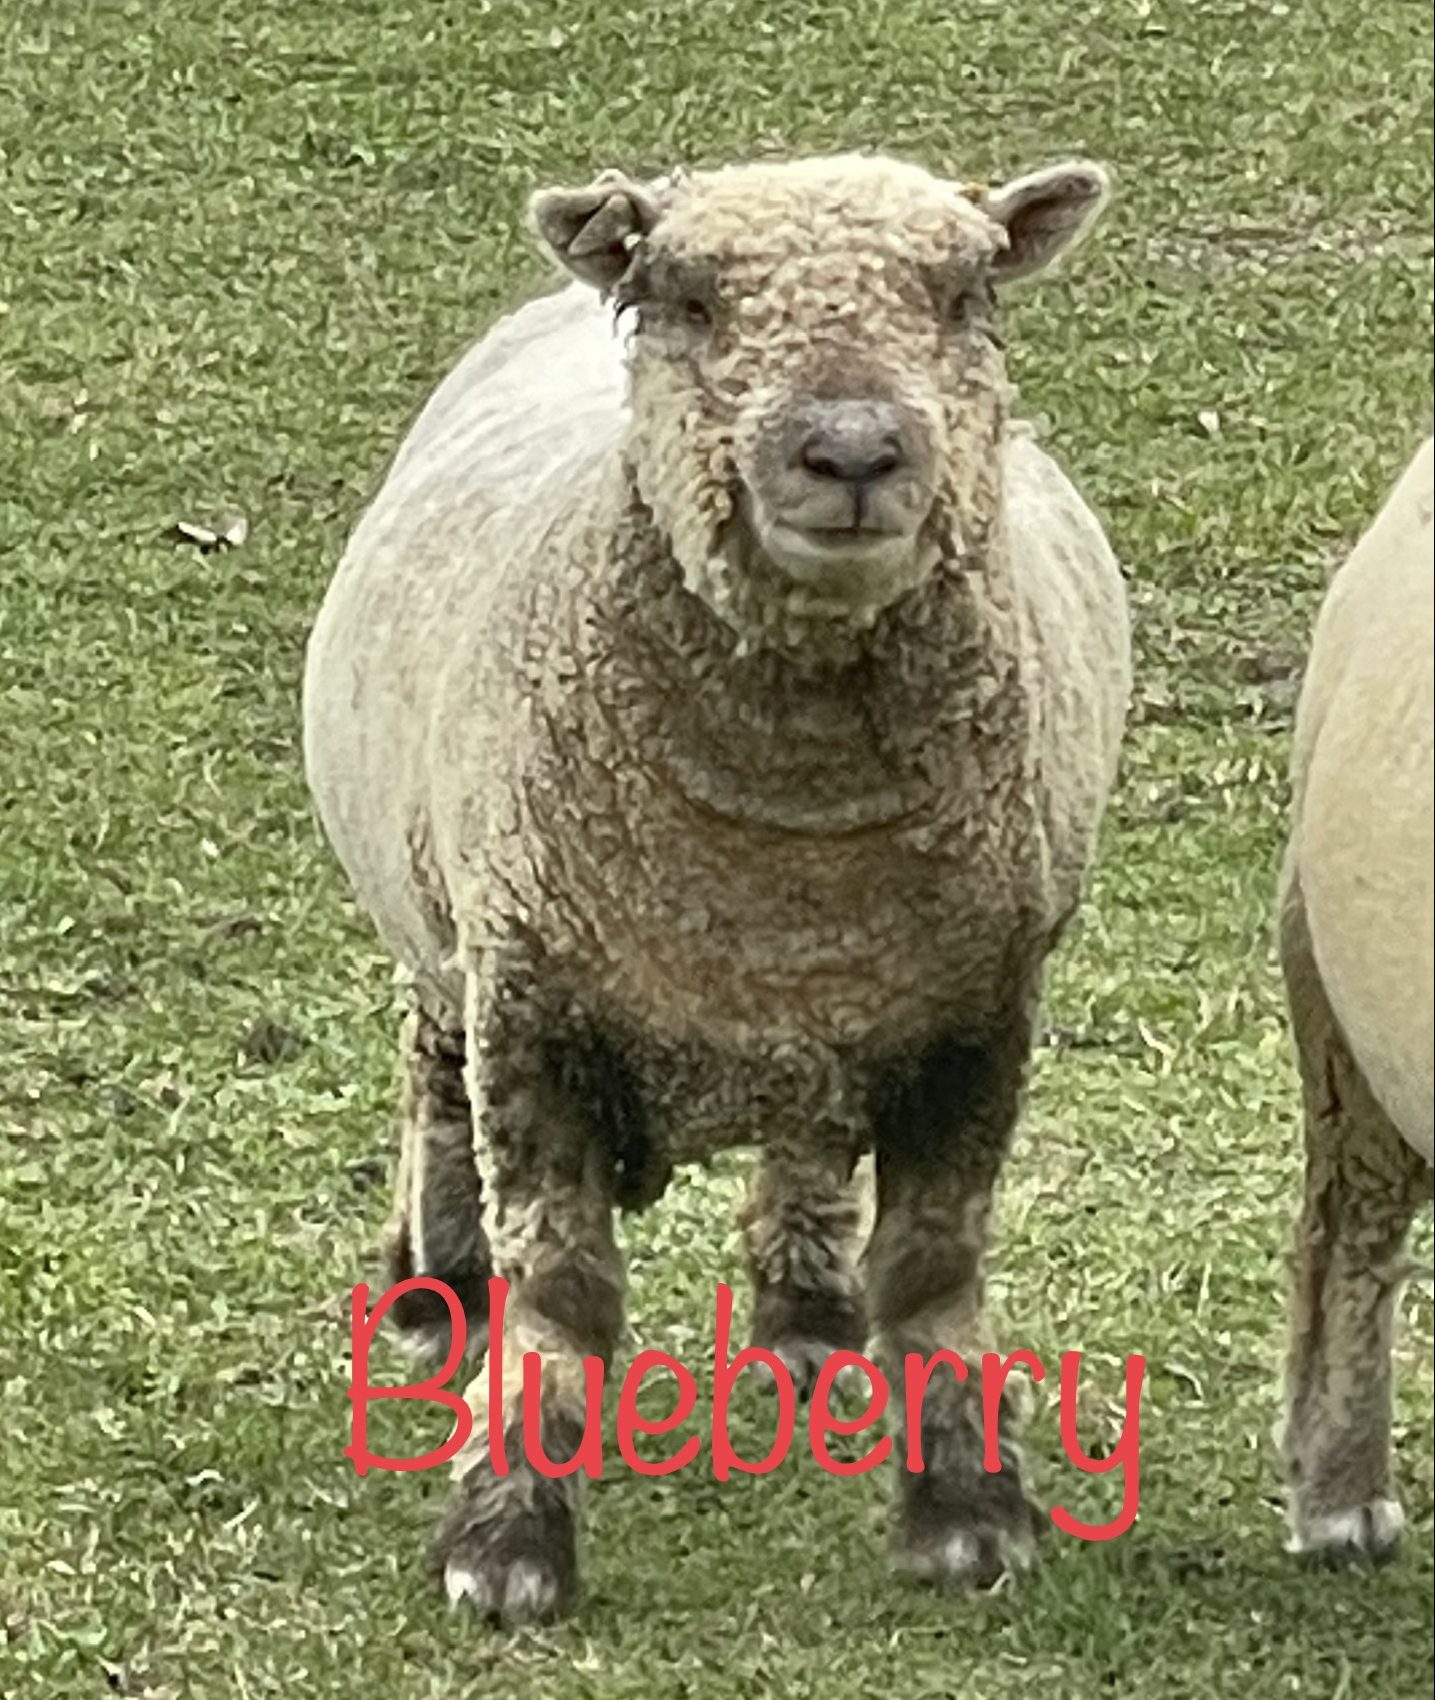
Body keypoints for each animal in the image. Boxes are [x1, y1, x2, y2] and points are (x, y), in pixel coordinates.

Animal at [302, 150, 1132, 1623]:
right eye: (681, 298)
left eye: (968, 294)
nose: (851, 453)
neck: (785, 837)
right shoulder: (535, 1002)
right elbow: (560, 1284)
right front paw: (506, 1537)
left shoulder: (969, 1009)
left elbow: (933, 1265)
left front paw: (964, 1513)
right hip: (440, 913)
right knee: (427, 1066)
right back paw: (433, 1283)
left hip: (831, 1009)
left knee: (805, 1134)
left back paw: (804, 1312)